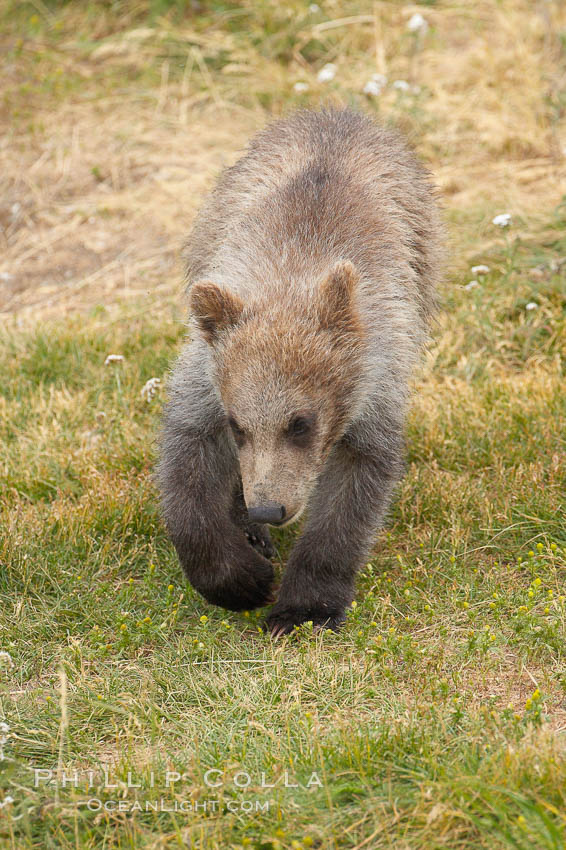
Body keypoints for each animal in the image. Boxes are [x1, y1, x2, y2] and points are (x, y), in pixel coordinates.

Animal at [158, 107, 442, 636]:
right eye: (238, 425)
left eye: (301, 423)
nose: (269, 508)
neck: (292, 275)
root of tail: (339, 113)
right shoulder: (207, 378)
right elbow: (187, 474)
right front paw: (241, 577)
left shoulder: (374, 388)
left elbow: (352, 496)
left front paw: (304, 608)